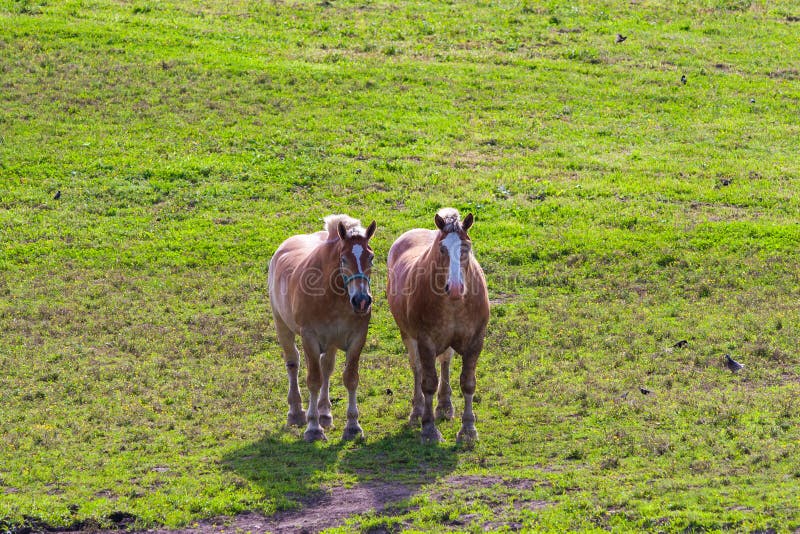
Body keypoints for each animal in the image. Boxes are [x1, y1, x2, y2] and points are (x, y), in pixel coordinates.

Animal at [268, 214, 377, 442]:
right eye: (343, 259)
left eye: (371, 257)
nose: (362, 301)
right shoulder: (309, 338)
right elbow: (314, 381)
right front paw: (313, 428)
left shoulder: (357, 338)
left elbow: (350, 378)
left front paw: (352, 426)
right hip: (282, 325)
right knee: (293, 363)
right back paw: (296, 413)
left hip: (331, 342)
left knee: (327, 367)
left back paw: (325, 413)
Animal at [387, 208, 489, 444]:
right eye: (442, 248)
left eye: (466, 247)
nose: (455, 288)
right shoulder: (425, 342)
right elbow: (428, 383)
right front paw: (429, 429)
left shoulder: (475, 341)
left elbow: (468, 383)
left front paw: (468, 430)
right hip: (408, 336)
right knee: (417, 369)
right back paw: (417, 412)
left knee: (445, 362)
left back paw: (444, 406)